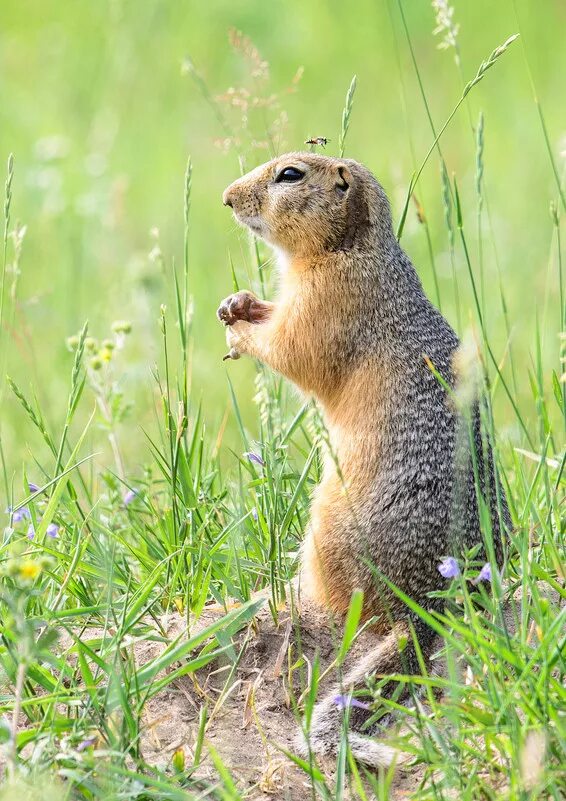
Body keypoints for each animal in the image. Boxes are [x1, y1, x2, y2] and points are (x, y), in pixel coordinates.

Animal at [216, 152, 510, 768]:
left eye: (290, 175)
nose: (227, 197)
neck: (352, 247)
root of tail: (428, 604)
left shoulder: (328, 299)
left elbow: (292, 347)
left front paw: (242, 331)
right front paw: (238, 302)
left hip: (327, 528)